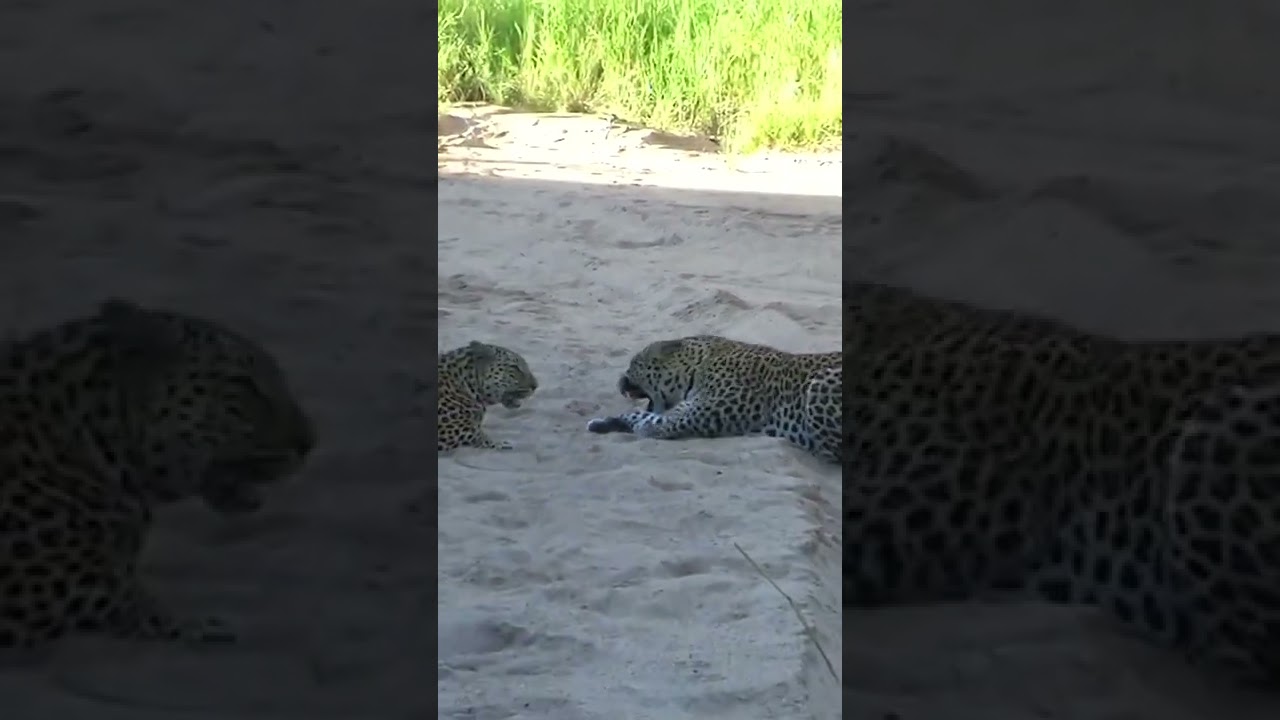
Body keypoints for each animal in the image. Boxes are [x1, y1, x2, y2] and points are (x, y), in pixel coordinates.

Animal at [585, 335, 842, 463]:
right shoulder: (691, 408)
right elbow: (653, 417)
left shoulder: (712, 413)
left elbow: (655, 423)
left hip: (820, 384)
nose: (620, 381)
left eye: (634, 364)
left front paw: (620, 423)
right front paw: (607, 422)